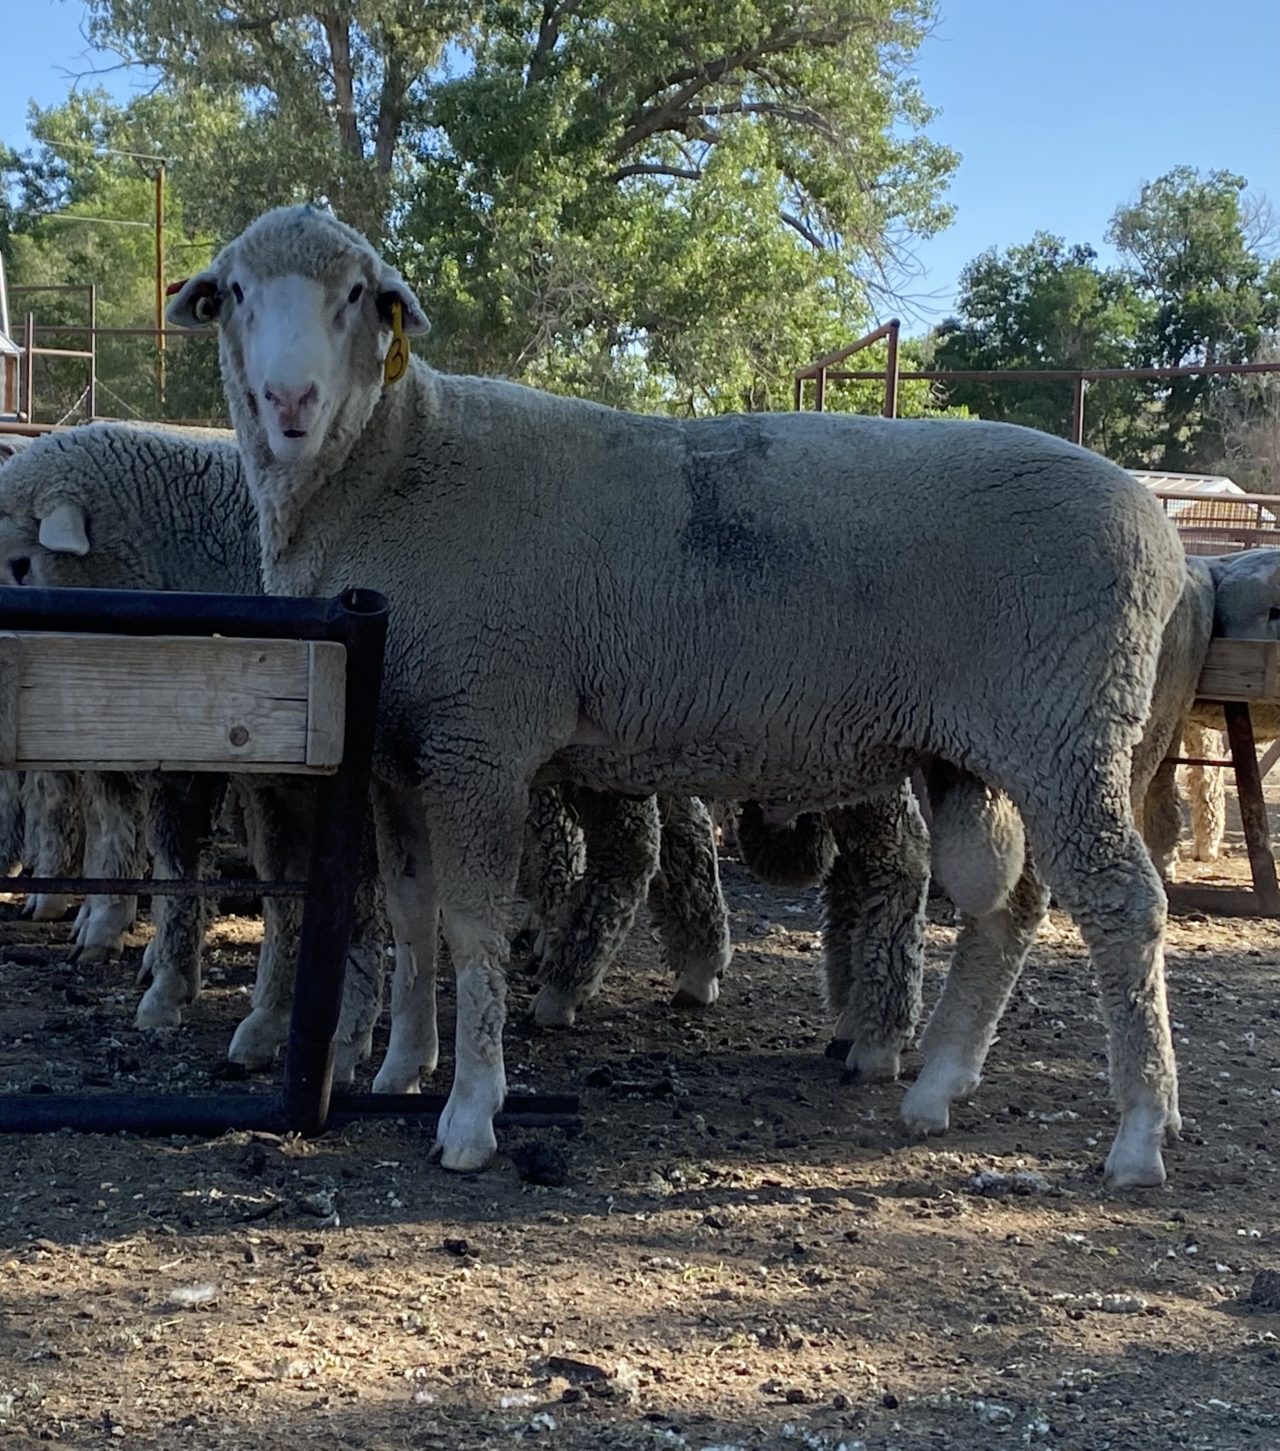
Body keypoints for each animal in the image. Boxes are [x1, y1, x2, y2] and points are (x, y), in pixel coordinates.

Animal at [167, 204, 1189, 1185]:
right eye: (236, 293)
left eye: (356, 295)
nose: (290, 402)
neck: (393, 466)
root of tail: (1159, 525)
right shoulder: (397, 746)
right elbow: (416, 915)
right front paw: (401, 1067)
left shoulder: (479, 734)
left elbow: (473, 926)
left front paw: (470, 1112)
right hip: (990, 748)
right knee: (1011, 909)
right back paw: (940, 1082)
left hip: (1065, 728)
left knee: (1123, 906)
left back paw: (1139, 1132)